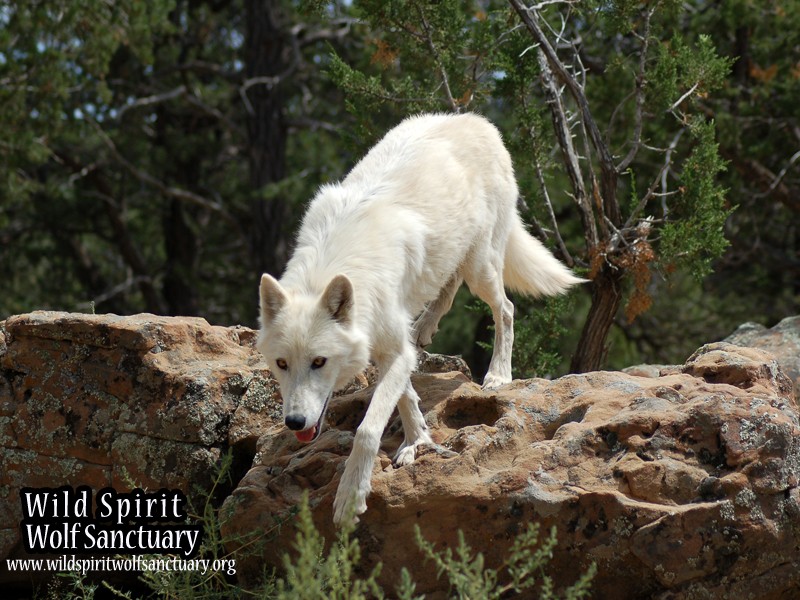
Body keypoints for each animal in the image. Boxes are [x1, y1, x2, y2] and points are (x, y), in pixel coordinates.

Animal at [257, 113, 584, 524]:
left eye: (319, 362)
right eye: (282, 364)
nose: (295, 423)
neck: (336, 262)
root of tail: (478, 120)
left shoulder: (394, 351)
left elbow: (368, 429)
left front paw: (350, 498)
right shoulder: (391, 350)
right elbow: (405, 397)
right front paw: (418, 440)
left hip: (482, 269)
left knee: (506, 309)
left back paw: (498, 374)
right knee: (447, 288)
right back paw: (425, 329)